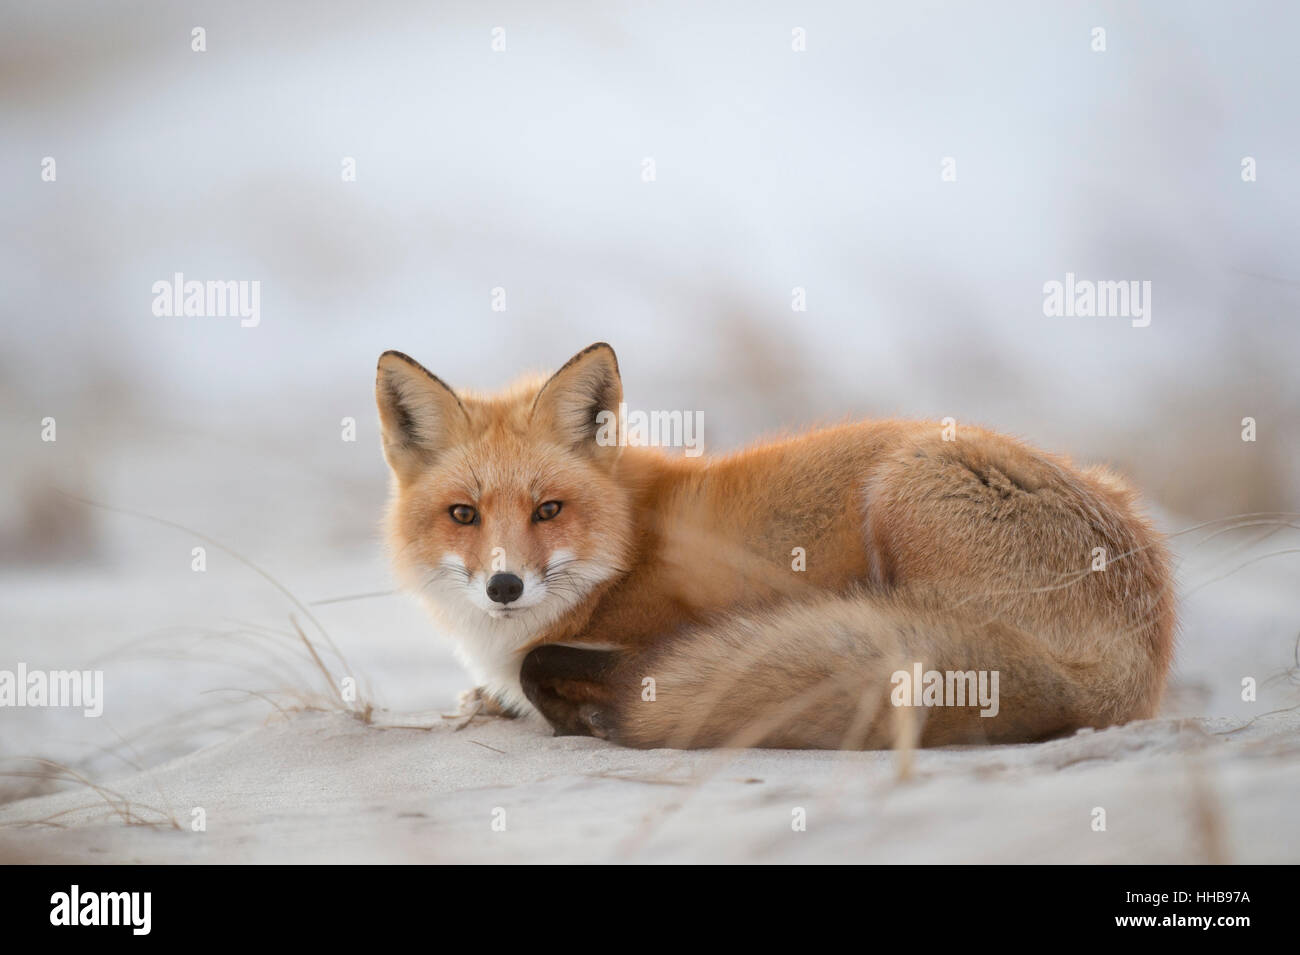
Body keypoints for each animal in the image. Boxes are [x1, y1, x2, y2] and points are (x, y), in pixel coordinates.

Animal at [376, 342, 1176, 750]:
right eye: (463, 514)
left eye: (549, 510)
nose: (504, 587)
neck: (628, 544)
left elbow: (540, 665)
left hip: (902, 487)